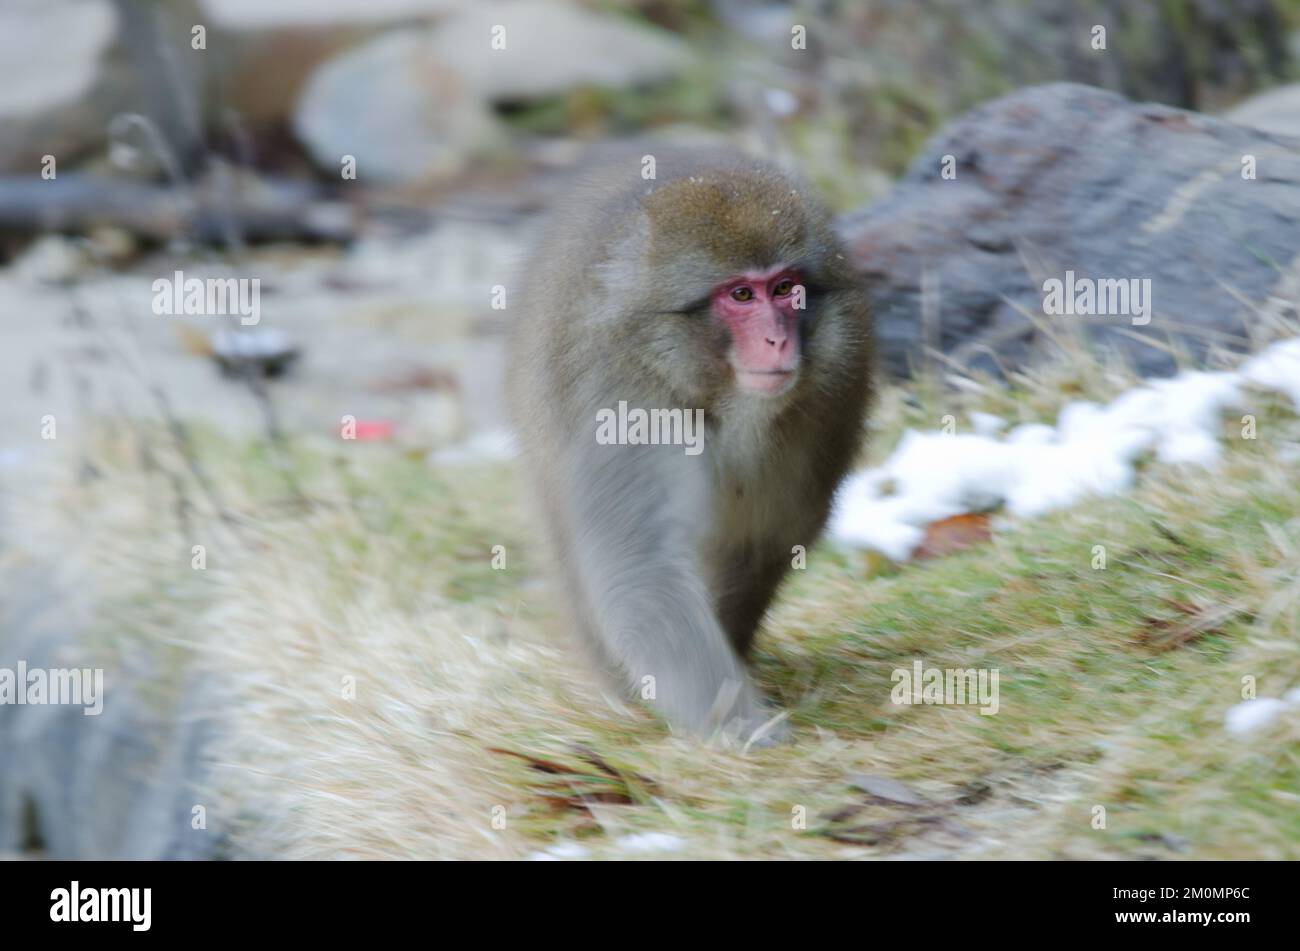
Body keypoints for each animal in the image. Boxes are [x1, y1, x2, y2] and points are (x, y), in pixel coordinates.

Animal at [507, 149, 873, 744]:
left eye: (784, 288)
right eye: (741, 295)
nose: (777, 340)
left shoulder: (836, 382)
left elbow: (766, 536)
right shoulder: (620, 395)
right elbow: (640, 569)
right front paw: (743, 728)